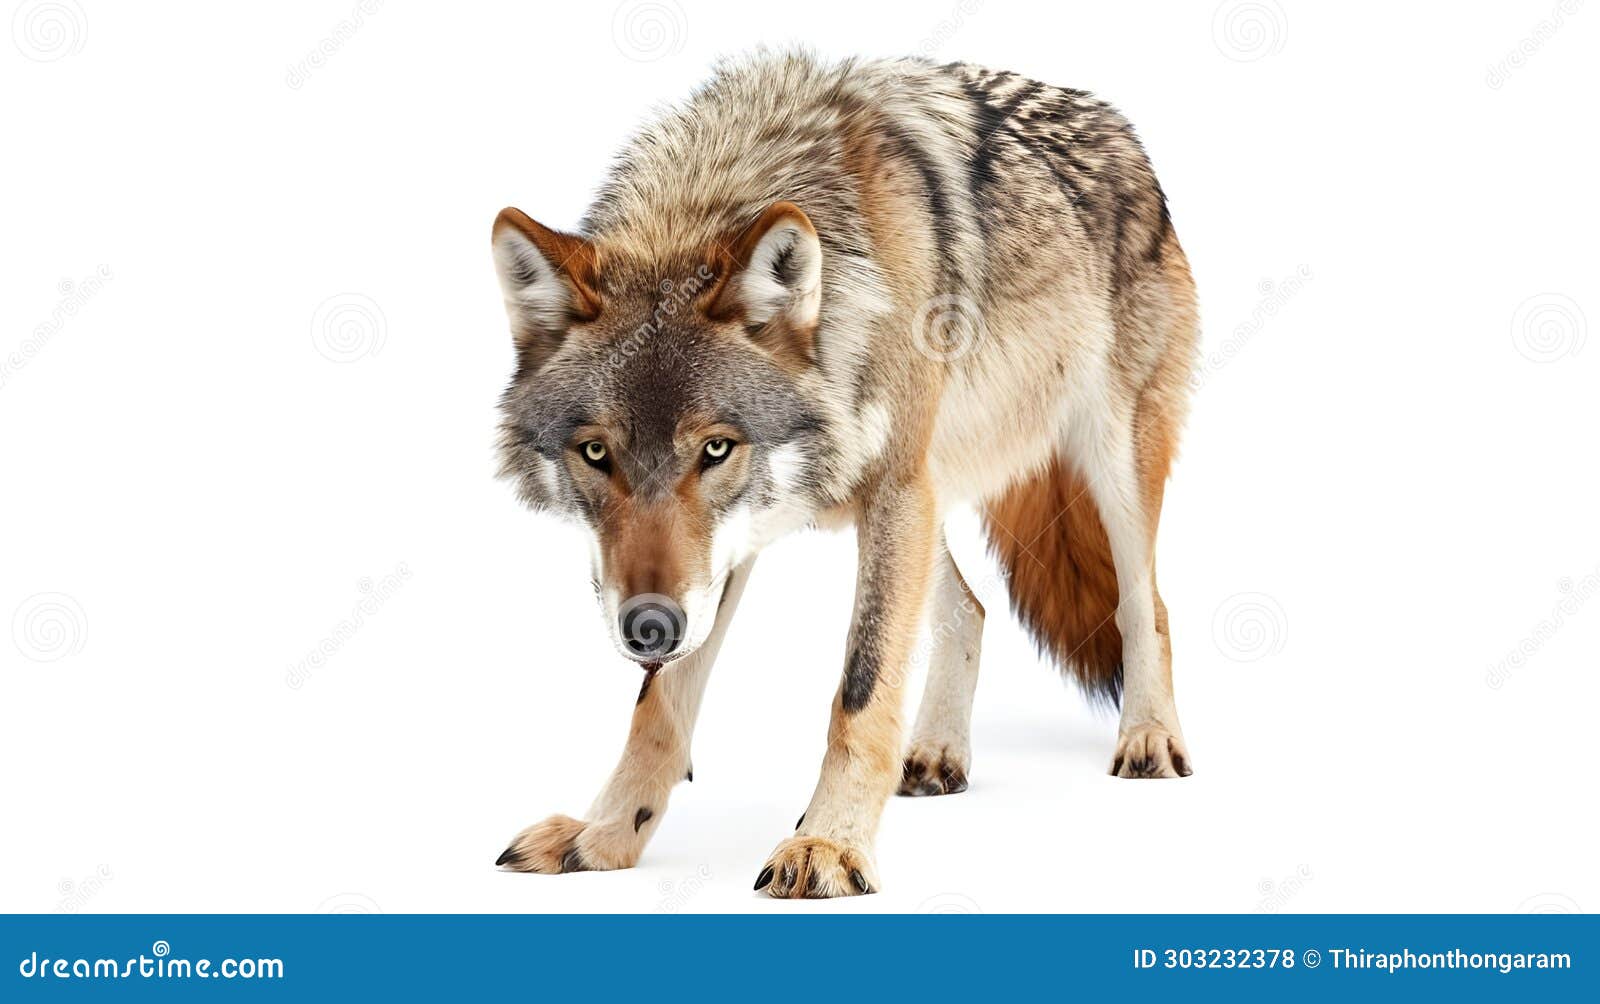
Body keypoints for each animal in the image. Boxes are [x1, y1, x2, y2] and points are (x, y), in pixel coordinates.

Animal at [490, 51, 1197, 898]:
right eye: (597, 453)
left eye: (716, 449)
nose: (647, 625)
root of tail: (1123, 132)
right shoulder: (731, 554)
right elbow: (658, 706)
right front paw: (605, 835)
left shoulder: (891, 490)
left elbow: (861, 687)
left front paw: (828, 845)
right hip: (929, 495)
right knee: (970, 609)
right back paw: (936, 755)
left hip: (1104, 462)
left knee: (1146, 605)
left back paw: (1150, 738)